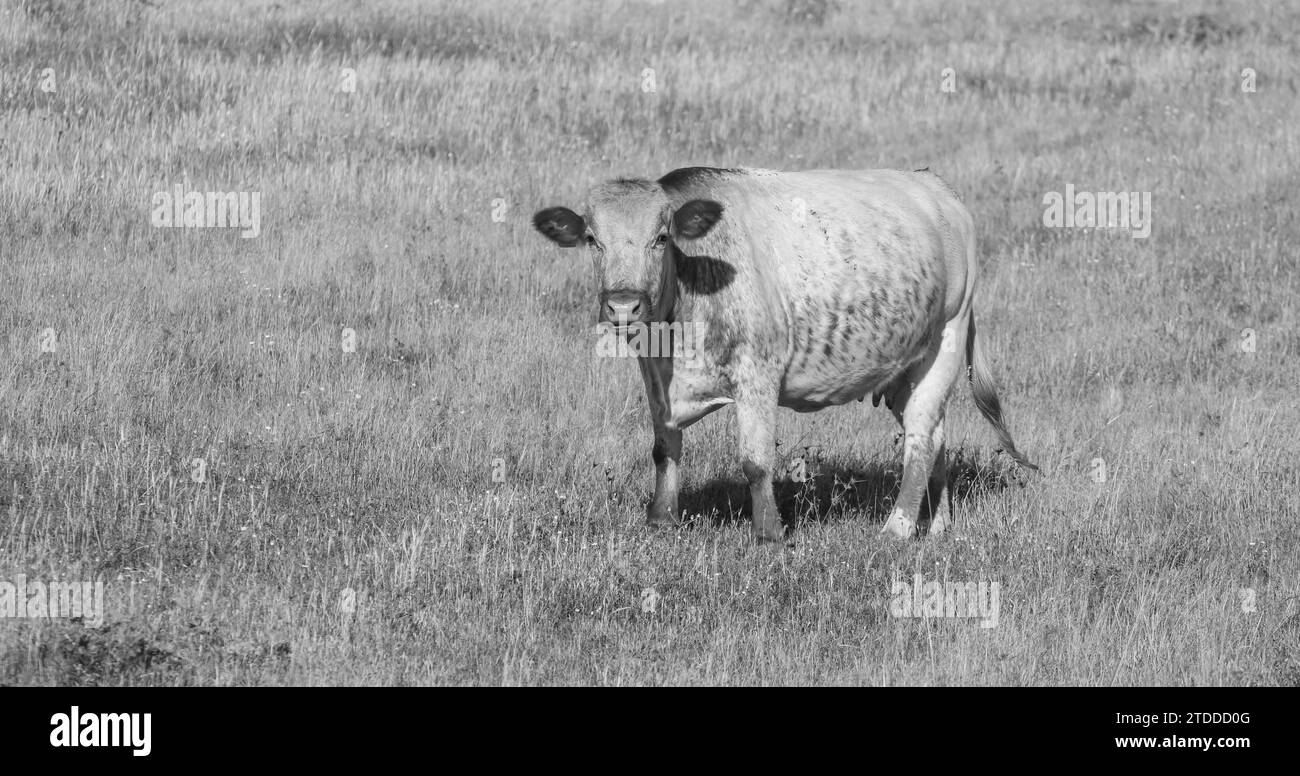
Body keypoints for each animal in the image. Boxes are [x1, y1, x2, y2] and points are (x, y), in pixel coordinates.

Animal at [533, 166, 1035, 542]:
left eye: (660, 237)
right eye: (593, 239)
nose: (623, 305)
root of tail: (935, 186)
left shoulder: (758, 374)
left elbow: (755, 460)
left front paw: (769, 532)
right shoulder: (655, 379)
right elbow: (663, 449)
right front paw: (661, 518)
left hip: (947, 340)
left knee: (920, 437)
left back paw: (897, 528)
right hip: (906, 369)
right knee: (937, 436)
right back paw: (939, 522)